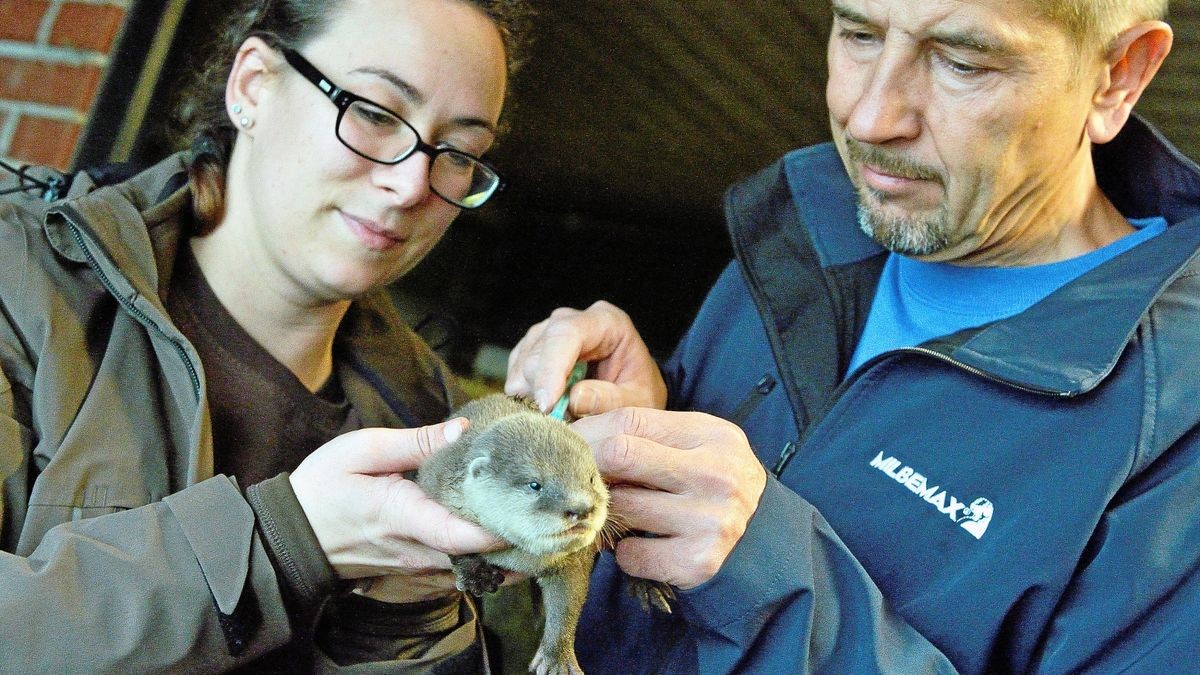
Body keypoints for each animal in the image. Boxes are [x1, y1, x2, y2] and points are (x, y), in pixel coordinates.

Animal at [418, 393, 608, 675]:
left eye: (592, 479)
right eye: (535, 484)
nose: (582, 508)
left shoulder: (573, 559)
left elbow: (568, 599)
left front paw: (557, 658)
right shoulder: (436, 482)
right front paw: (477, 576)